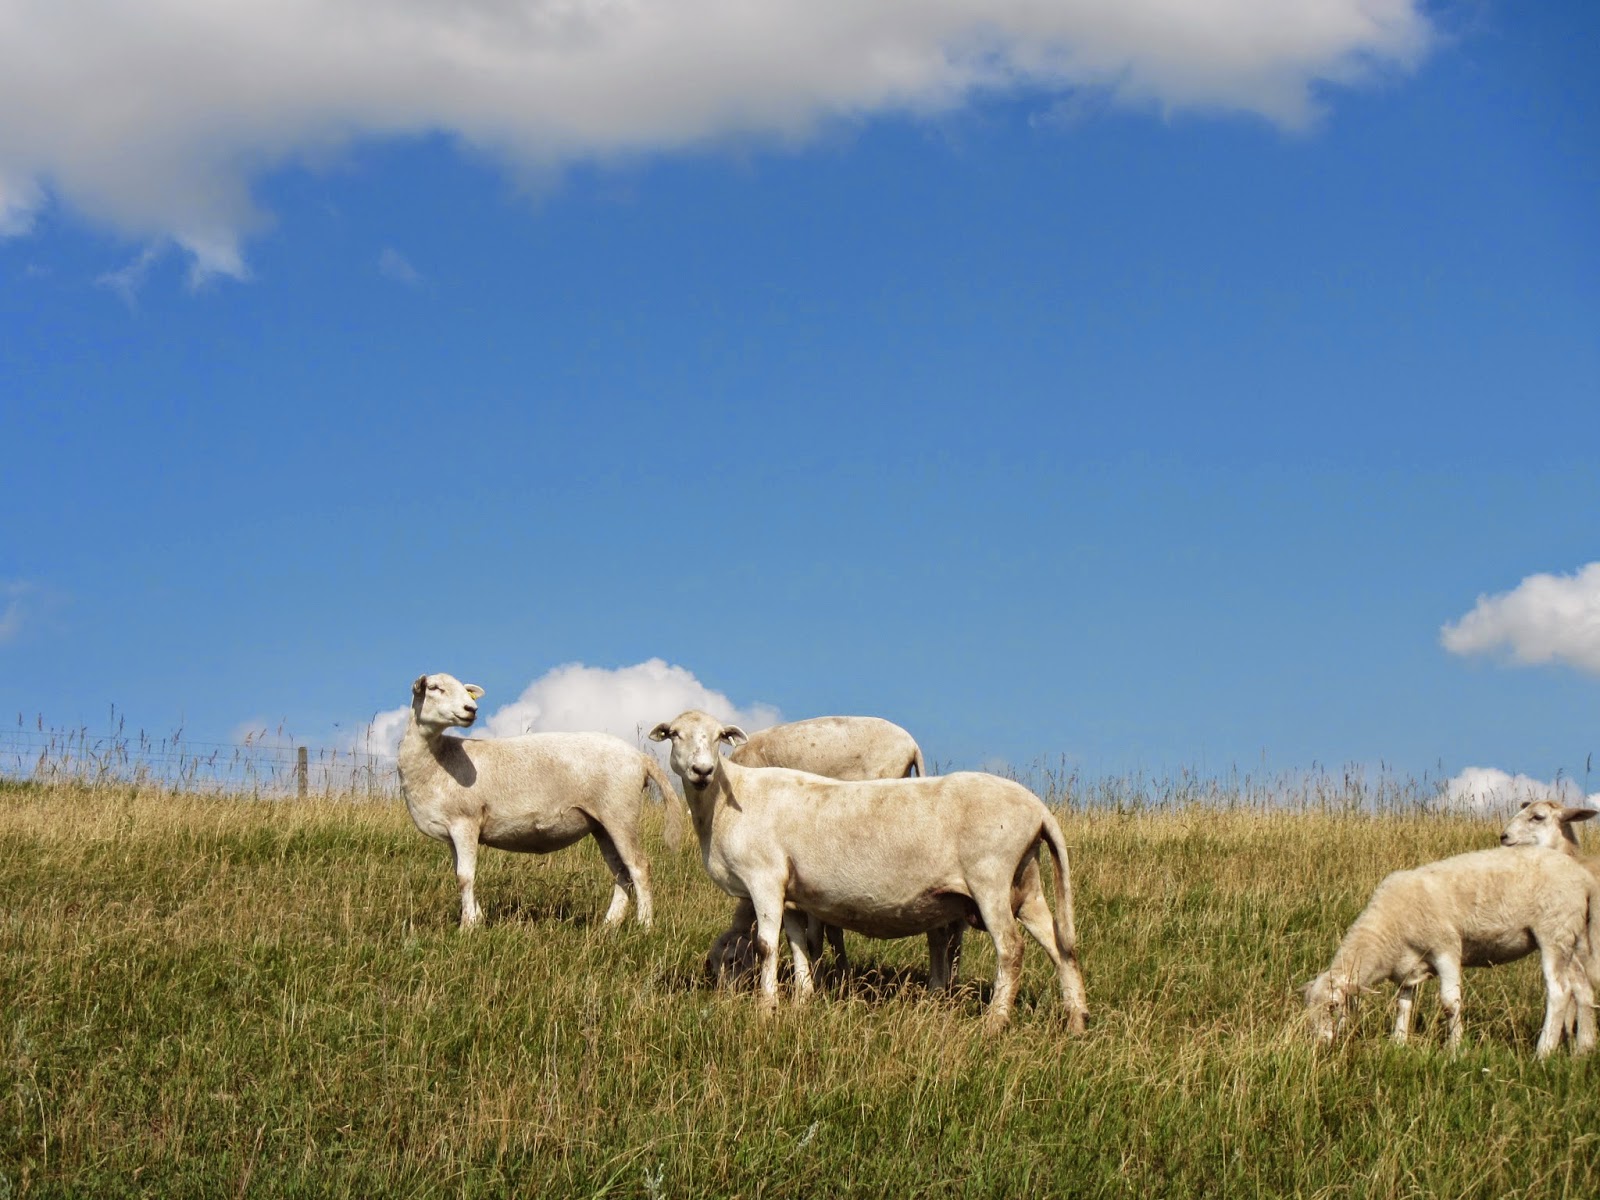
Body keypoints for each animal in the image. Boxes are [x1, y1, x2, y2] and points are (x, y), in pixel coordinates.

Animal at [397, 672, 681, 930]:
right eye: (434, 688)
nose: (471, 709)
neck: (438, 759)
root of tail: (640, 757)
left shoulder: (465, 821)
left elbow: (465, 877)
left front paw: (467, 928)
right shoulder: (452, 831)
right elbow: (460, 874)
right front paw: (476, 919)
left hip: (620, 813)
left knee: (640, 867)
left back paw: (645, 926)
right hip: (602, 824)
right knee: (622, 872)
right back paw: (608, 926)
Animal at [649, 709, 1089, 1031]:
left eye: (718, 737)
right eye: (675, 735)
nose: (702, 771)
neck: (726, 801)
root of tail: (1038, 809)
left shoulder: (764, 879)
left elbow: (766, 945)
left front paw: (766, 1007)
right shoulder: (790, 891)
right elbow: (798, 944)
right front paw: (804, 1000)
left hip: (991, 880)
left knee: (1012, 949)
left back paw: (995, 1023)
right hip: (1026, 886)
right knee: (1059, 946)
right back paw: (1076, 1020)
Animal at [1301, 846, 1599, 1057]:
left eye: (1334, 1005)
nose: (1321, 1045)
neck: (1386, 933)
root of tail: (1585, 879)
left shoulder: (1445, 948)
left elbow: (1450, 1002)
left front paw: (1455, 1050)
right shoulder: (1409, 966)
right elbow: (1404, 1003)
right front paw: (1398, 1042)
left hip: (1553, 930)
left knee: (1559, 991)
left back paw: (1543, 1052)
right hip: (1573, 937)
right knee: (1582, 987)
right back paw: (1583, 1049)